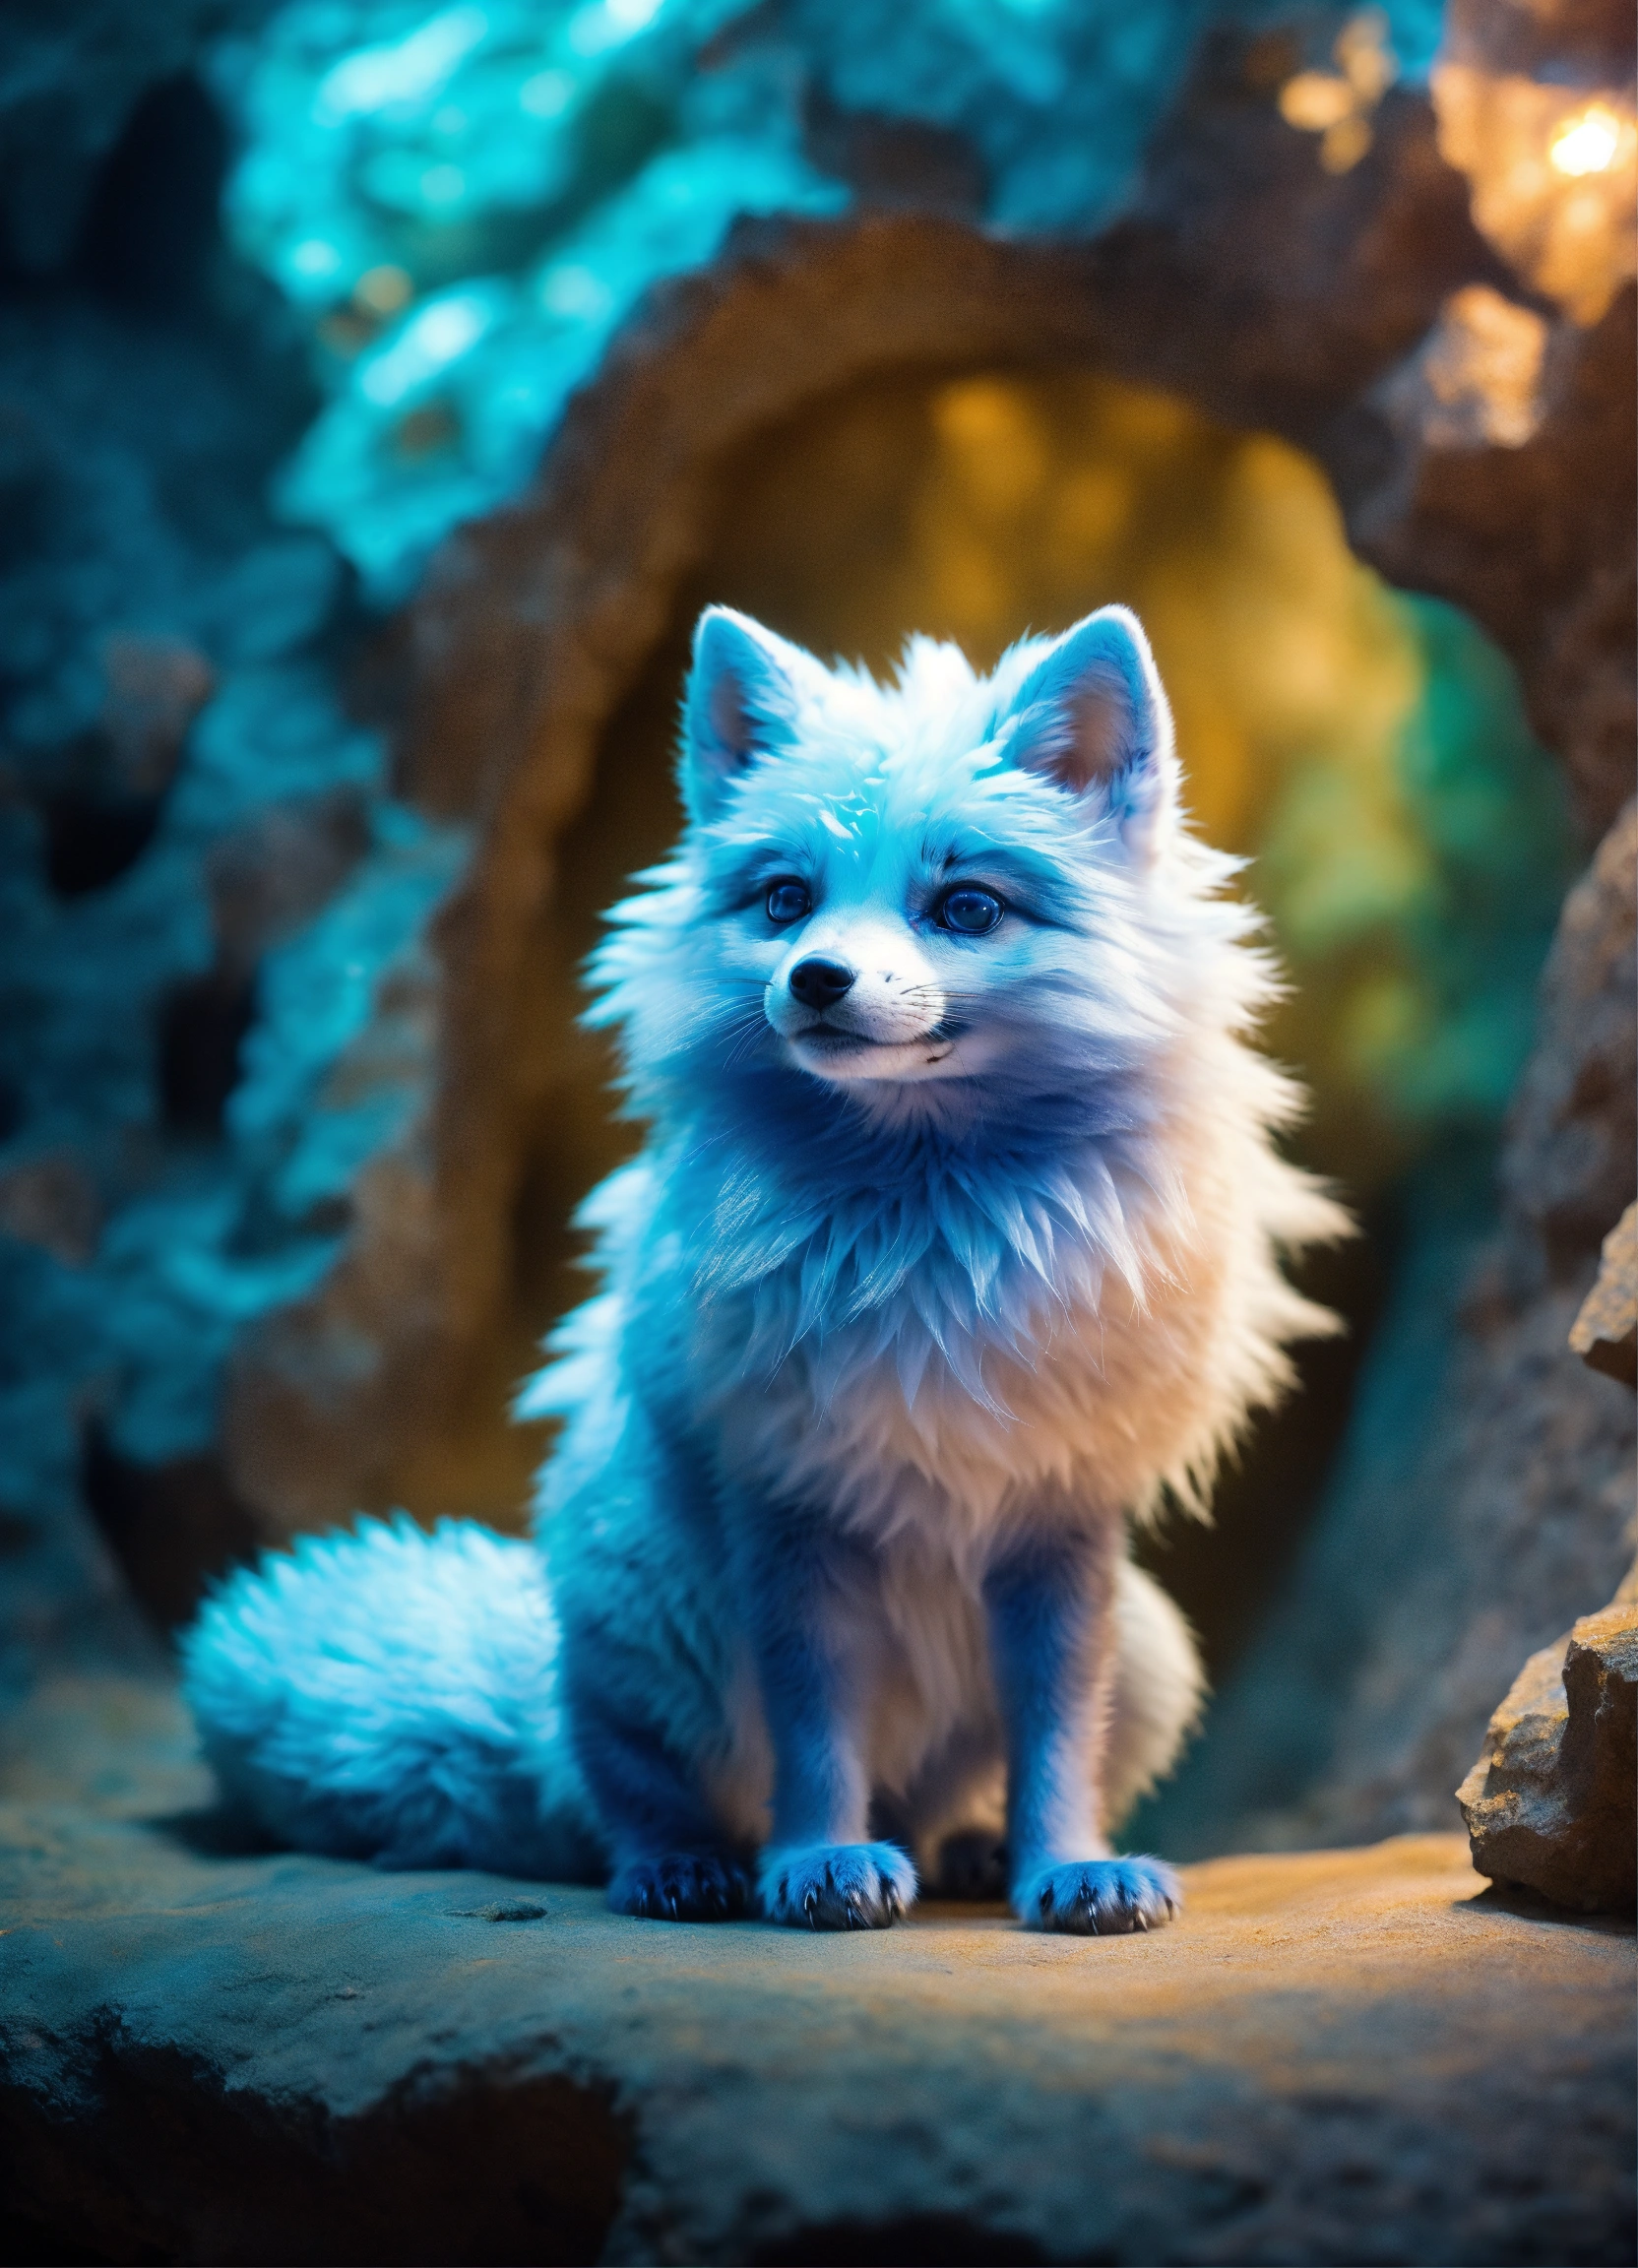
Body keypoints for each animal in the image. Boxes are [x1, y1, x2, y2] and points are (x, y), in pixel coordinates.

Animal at [183, 602, 1347, 1934]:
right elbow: (813, 1734)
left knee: (942, 1801)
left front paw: (1064, 1870)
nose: (816, 980)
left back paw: (968, 1853)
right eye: (787, 900)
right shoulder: (789, 1505)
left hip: (1155, 1651)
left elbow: (1054, 1735)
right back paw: (687, 1869)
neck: (929, 1249)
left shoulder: (1062, 1517)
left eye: (965, 908)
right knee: (618, 1798)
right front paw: (816, 1865)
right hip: (639, 1611)